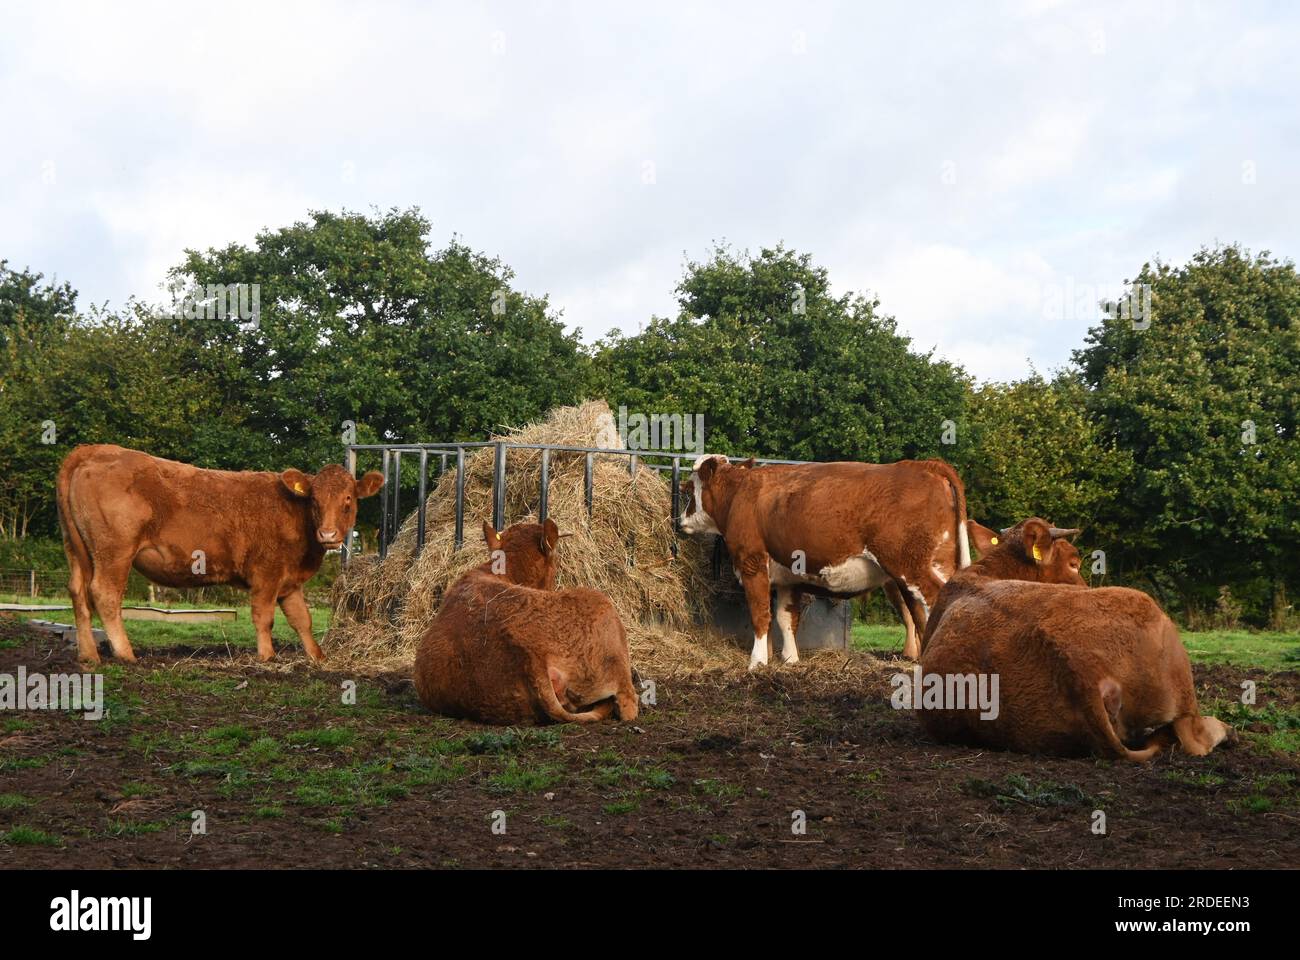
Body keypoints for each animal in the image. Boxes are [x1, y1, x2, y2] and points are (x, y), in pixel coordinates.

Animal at [56, 444, 383, 664]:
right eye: (314, 500)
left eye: (348, 499)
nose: (328, 534)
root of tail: (95, 450)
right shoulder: (267, 574)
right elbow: (264, 617)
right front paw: (267, 656)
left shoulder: (290, 581)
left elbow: (302, 620)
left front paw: (318, 656)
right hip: (114, 552)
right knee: (105, 594)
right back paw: (126, 654)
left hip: (77, 550)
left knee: (78, 592)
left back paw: (88, 656)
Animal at [679, 455, 973, 668]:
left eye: (689, 491)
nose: (680, 520)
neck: (739, 495)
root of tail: (922, 464)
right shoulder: (788, 579)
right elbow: (786, 618)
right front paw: (790, 659)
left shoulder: (752, 564)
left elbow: (760, 615)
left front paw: (757, 662)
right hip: (928, 569)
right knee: (924, 616)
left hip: (914, 568)